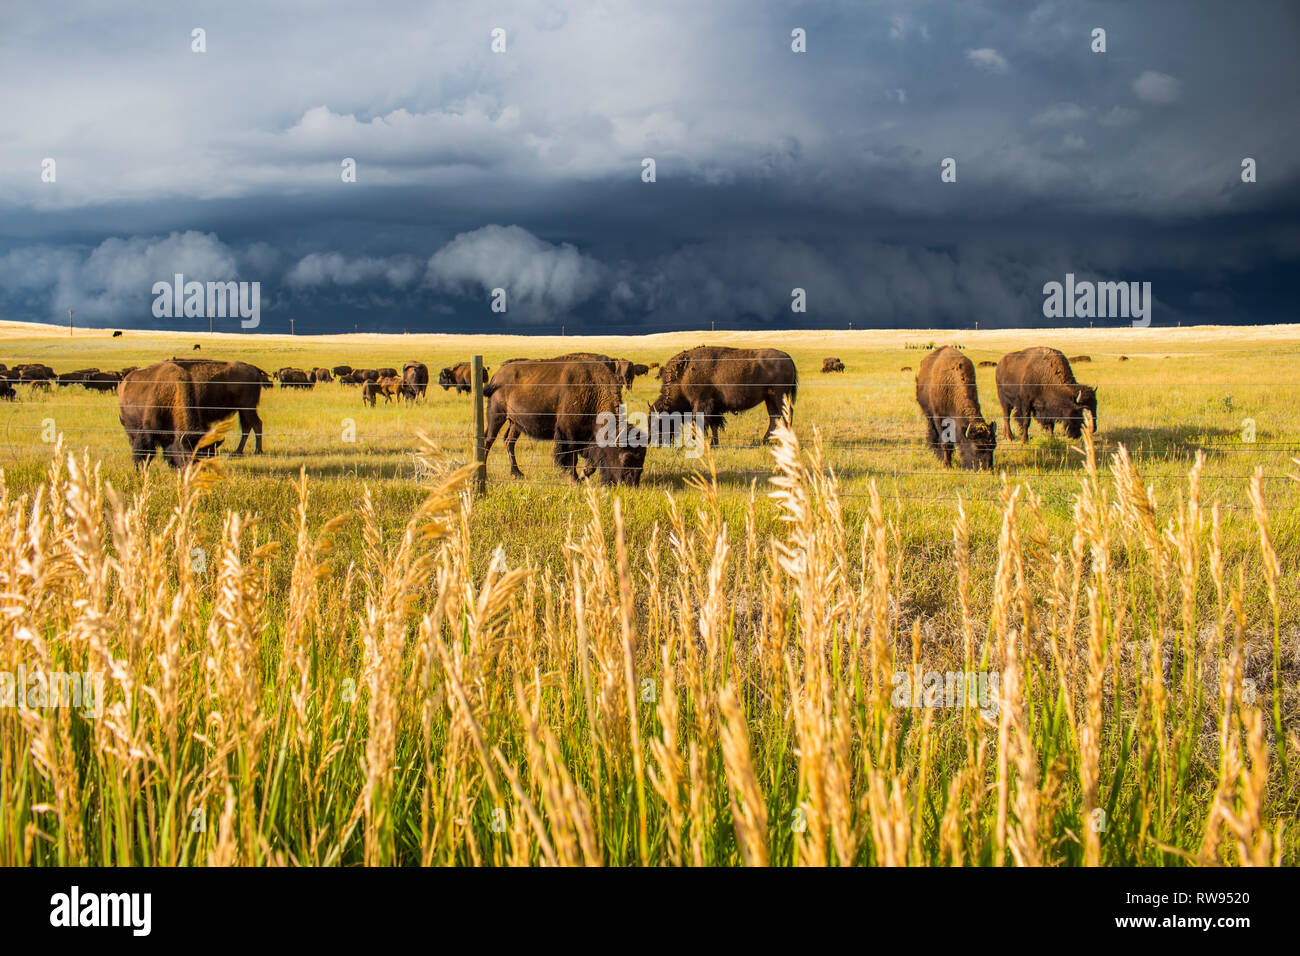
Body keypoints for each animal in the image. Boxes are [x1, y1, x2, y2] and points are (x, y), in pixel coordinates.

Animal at [650, 346, 797, 444]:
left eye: (659, 422)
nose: (656, 442)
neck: (683, 375)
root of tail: (787, 356)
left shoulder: (701, 403)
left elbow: (699, 422)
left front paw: (695, 442)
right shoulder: (713, 408)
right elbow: (714, 425)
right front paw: (714, 443)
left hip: (779, 395)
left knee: (786, 413)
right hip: (769, 398)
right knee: (774, 417)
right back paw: (765, 440)